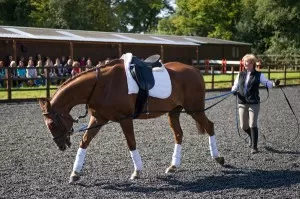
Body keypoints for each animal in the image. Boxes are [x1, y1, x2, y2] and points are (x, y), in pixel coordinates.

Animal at [38, 57, 224, 183]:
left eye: (52, 123)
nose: (60, 145)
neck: (101, 85)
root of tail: (195, 70)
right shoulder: (98, 119)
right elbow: (84, 142)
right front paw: (75, 173)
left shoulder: (124, 119)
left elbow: (131, 143)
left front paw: (137, 171)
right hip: (174, 112)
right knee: (179, 135)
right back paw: (173, 166)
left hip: (195, 109)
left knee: (210, 126)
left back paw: (218, 158)